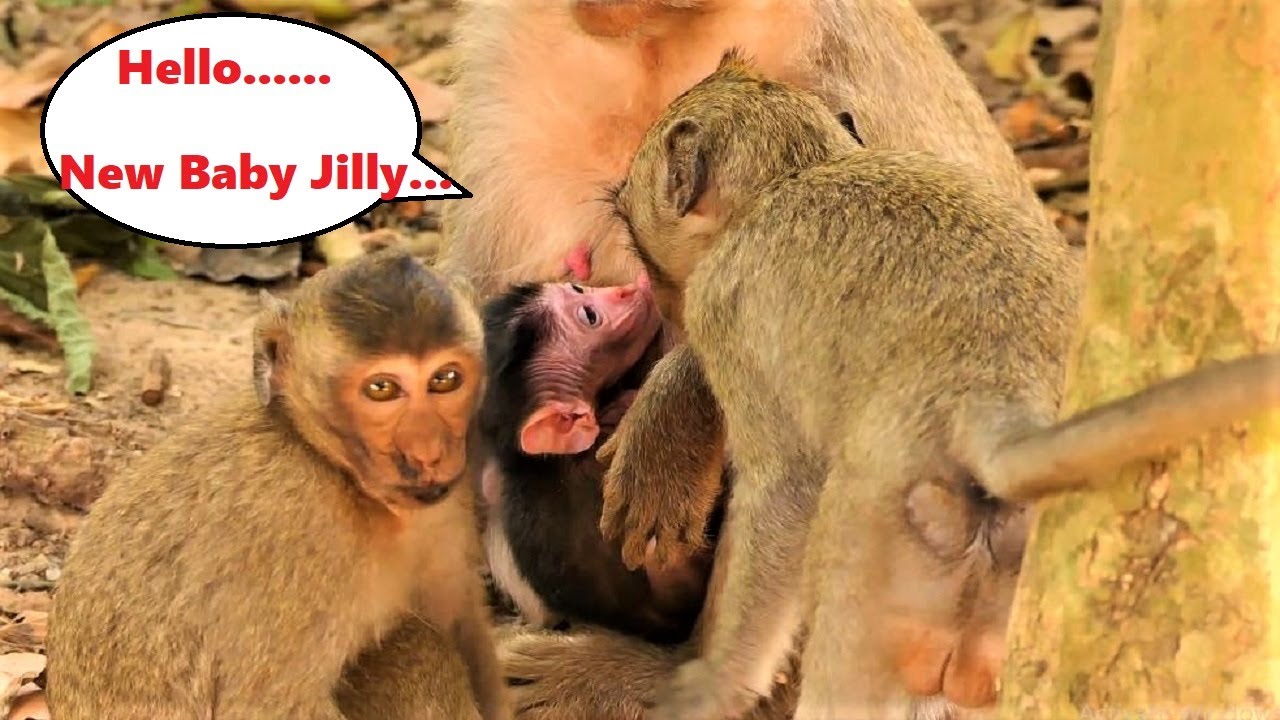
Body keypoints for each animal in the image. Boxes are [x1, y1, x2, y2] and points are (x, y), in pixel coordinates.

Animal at [45, 249, 512, 720]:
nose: (428, 451)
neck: (331, 465)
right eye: (382, 388)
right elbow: (266, 704)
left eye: (445, 379)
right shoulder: (298, 526)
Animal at [600, 52, 1280, 719]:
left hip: (882, 534)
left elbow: (784, 488)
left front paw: (713, 681)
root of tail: (1000, 386)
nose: (665, 308)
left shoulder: (725, 315)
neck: (794, 174)